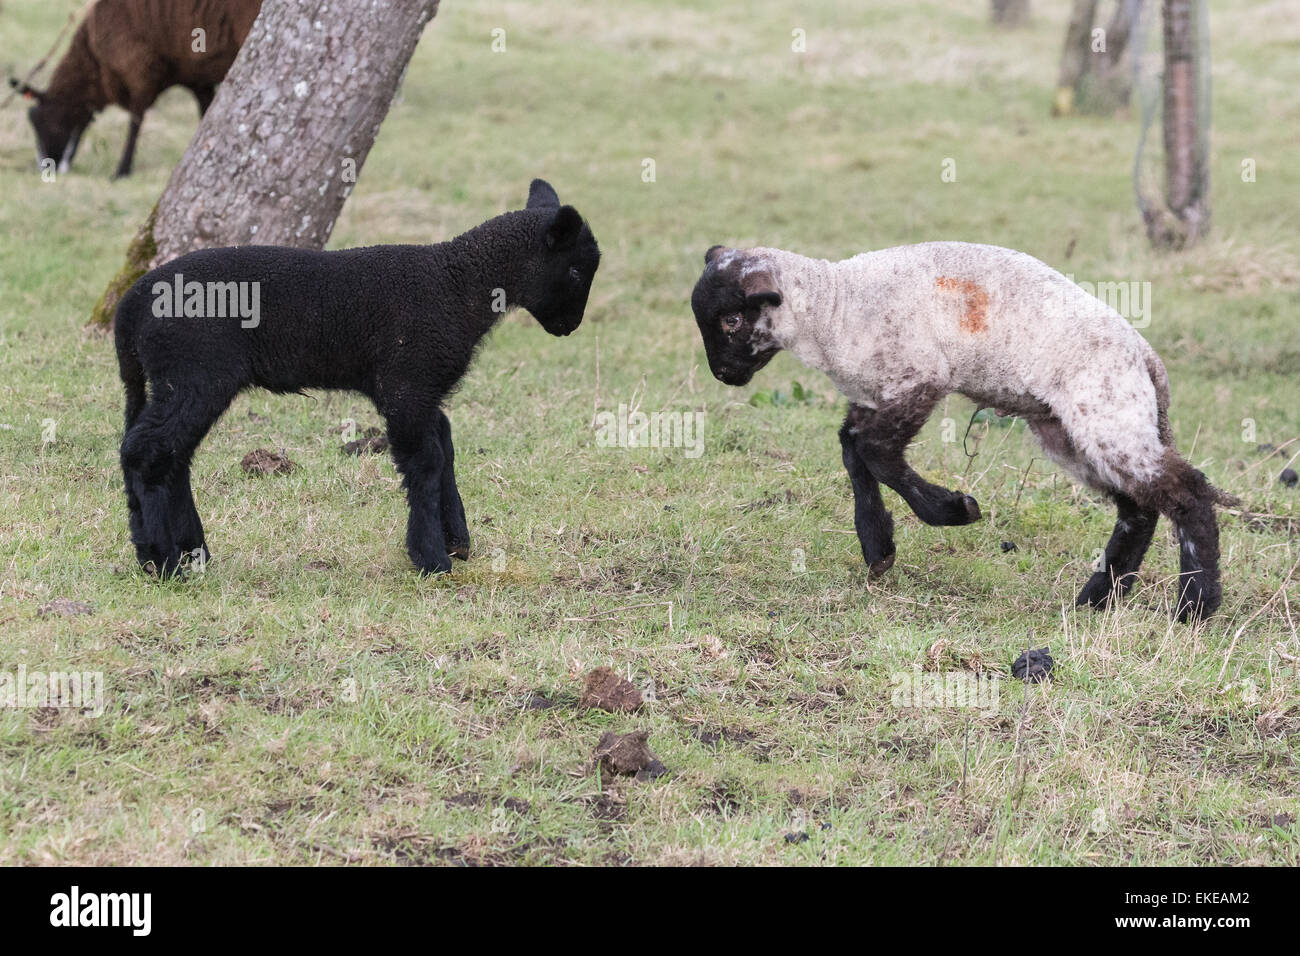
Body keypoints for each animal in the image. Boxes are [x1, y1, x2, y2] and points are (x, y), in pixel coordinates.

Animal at [10, 0, 262, 177]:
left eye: (45, 123)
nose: (45, 169)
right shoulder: (197, 79)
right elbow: (205, 114)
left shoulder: (138, 67)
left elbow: (135, 122)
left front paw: (122, 170)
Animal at [115, 178, 600, 577]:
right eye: (576, 270)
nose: (571, 326)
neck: (460, 283)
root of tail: (131, 304)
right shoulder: (407, 384)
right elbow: (425, 461)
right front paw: (431, 558)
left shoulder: (424, 391)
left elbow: (445, 448)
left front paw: (457, 541)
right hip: (194, 375)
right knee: (148, 452)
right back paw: (164, 562)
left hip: (170, 382)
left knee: (165, 455)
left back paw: (181, 552)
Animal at [691, 241, 1237, 622]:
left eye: (733, 319)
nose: (722, 374)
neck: (832, 308)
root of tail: (1147, 357)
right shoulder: (874, 394)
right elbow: (852, 451)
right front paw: (878, 548)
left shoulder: (919, 378)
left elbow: (875, 453)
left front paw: (955, 510)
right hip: (1068, 431)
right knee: (1139, 508)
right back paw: (1096, 600)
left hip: (1105, 413)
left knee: (1186, 491)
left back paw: (1195, 608)